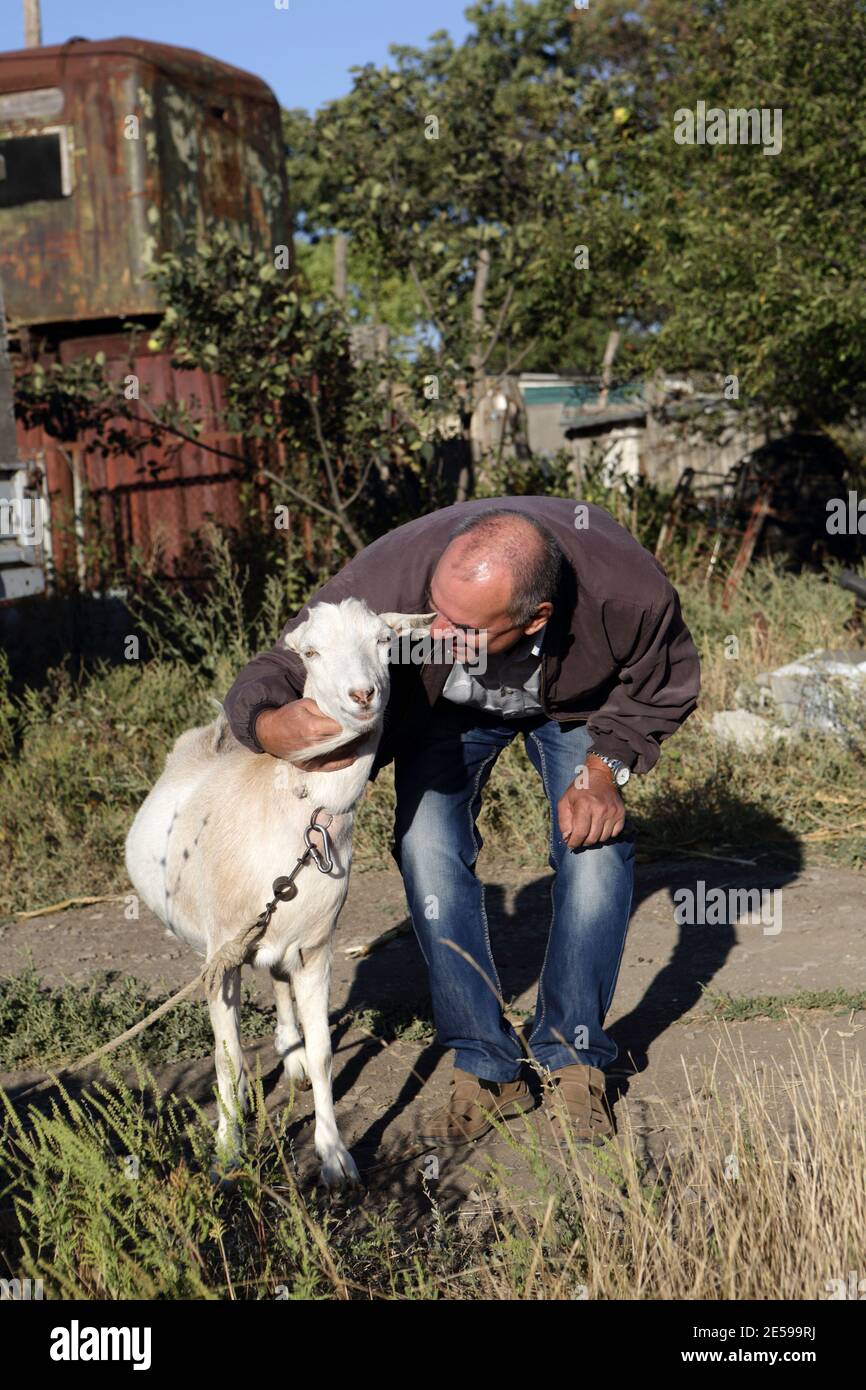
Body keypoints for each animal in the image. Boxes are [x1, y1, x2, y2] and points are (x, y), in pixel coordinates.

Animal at [125, 598, 433, 1186]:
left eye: (385, 641)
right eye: (310, 652)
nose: (363, 696)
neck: (295, 812)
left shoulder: (315, 947)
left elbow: (324, 1051)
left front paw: (336, 1156)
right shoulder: (223, 953)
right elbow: (225, 1055)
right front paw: (228, 1152)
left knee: (277, 981)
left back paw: (288, 1055)